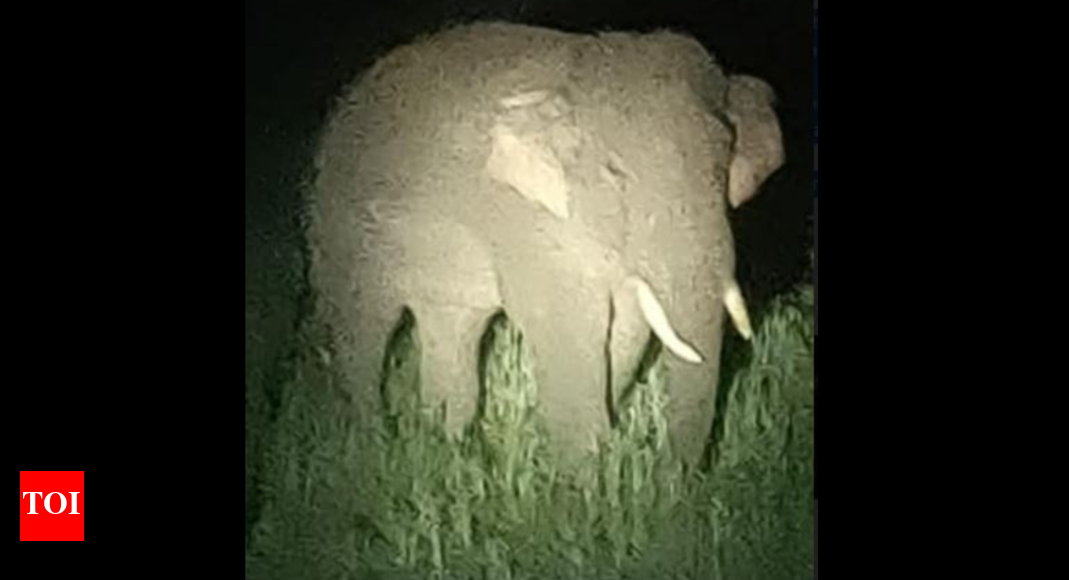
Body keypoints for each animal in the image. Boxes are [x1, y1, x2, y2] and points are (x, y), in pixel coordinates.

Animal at [306, 22, 784, 465]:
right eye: (615, 172)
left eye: (724, 160)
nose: (677, 480)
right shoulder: (527, 222)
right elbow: (570, 327)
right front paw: (586, 481)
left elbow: (628, 328)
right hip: (341, 232)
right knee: (363, 334)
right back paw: (376, 447)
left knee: (452, 330)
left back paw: (446, 448)